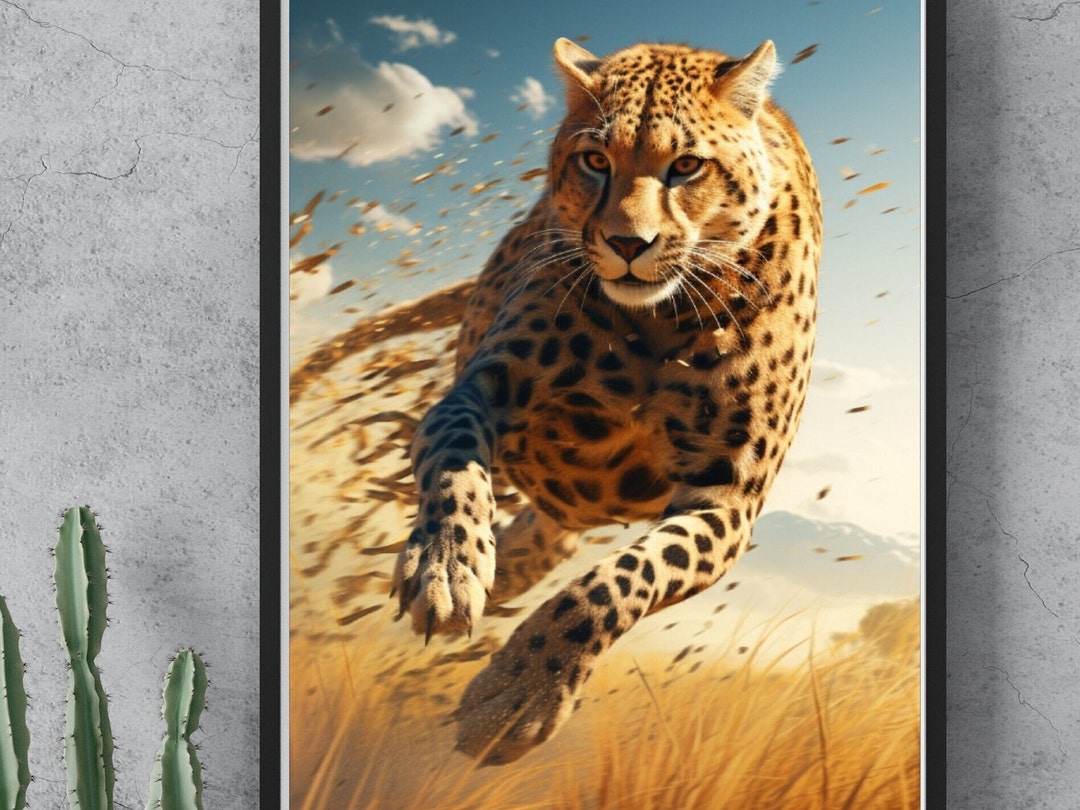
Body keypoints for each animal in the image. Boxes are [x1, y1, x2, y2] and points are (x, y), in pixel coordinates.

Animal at [391, 36, 821, 765]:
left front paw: (519, 694)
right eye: (596, 161)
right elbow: (453, 464)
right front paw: (445, 566)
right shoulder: (482, 386)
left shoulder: (726, 501)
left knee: (560, 535)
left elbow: (620, 579)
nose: (627, 244)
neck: (662, 321)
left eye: (686, 166)